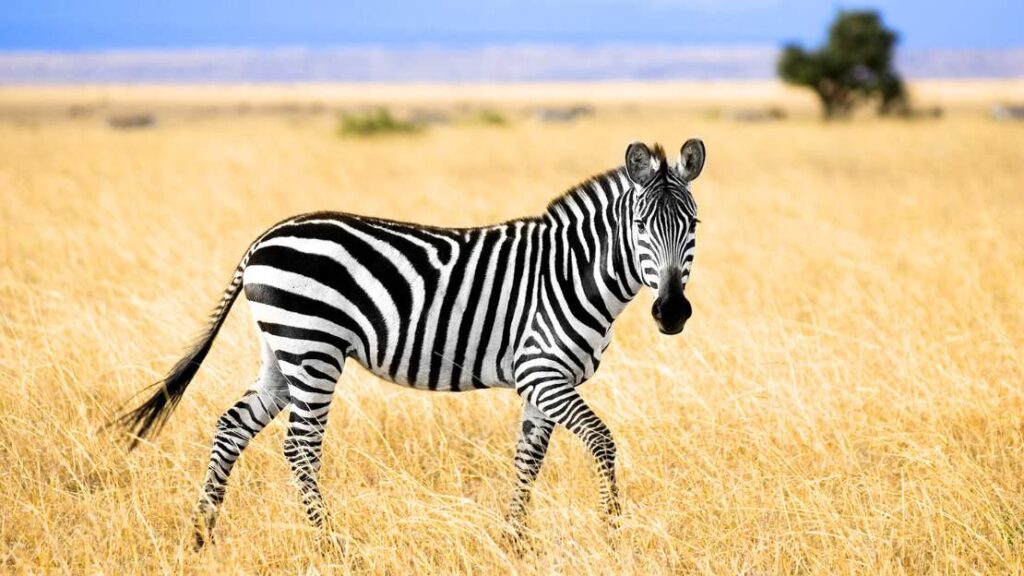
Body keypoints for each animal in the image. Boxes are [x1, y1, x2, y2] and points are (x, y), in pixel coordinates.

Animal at [116, 139, 706, 549]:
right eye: (640, 224)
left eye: (694, 224)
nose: (673, 312)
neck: (571, 271)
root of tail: (266, 237)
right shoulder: (542, 371)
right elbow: (602, 442)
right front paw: (613, 532)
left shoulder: (542, 383)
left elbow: (528, 459)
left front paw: (514, 542)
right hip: (314, 348)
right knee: (300, 448)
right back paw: (330, 545)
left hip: (282, 353)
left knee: (231, 427)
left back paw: (201, 535)